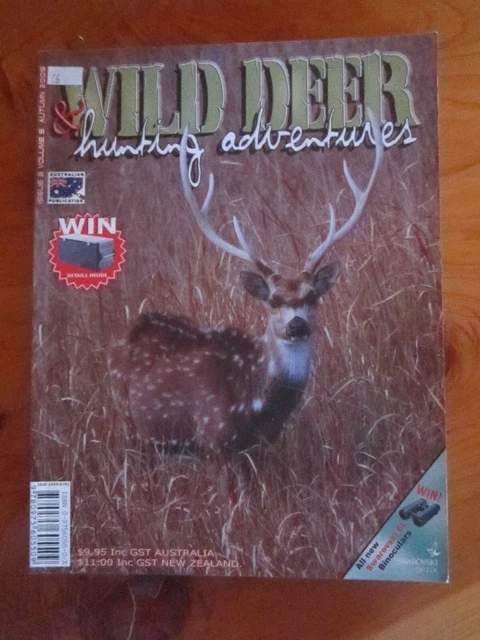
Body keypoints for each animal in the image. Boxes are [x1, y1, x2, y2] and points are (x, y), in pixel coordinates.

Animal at [110, 111, 383, 461]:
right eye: (273, 300)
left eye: (312, 296)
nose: (296, 325)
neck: (255, 408)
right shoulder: (213, 440)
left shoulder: (263, 447)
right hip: (133, 430)